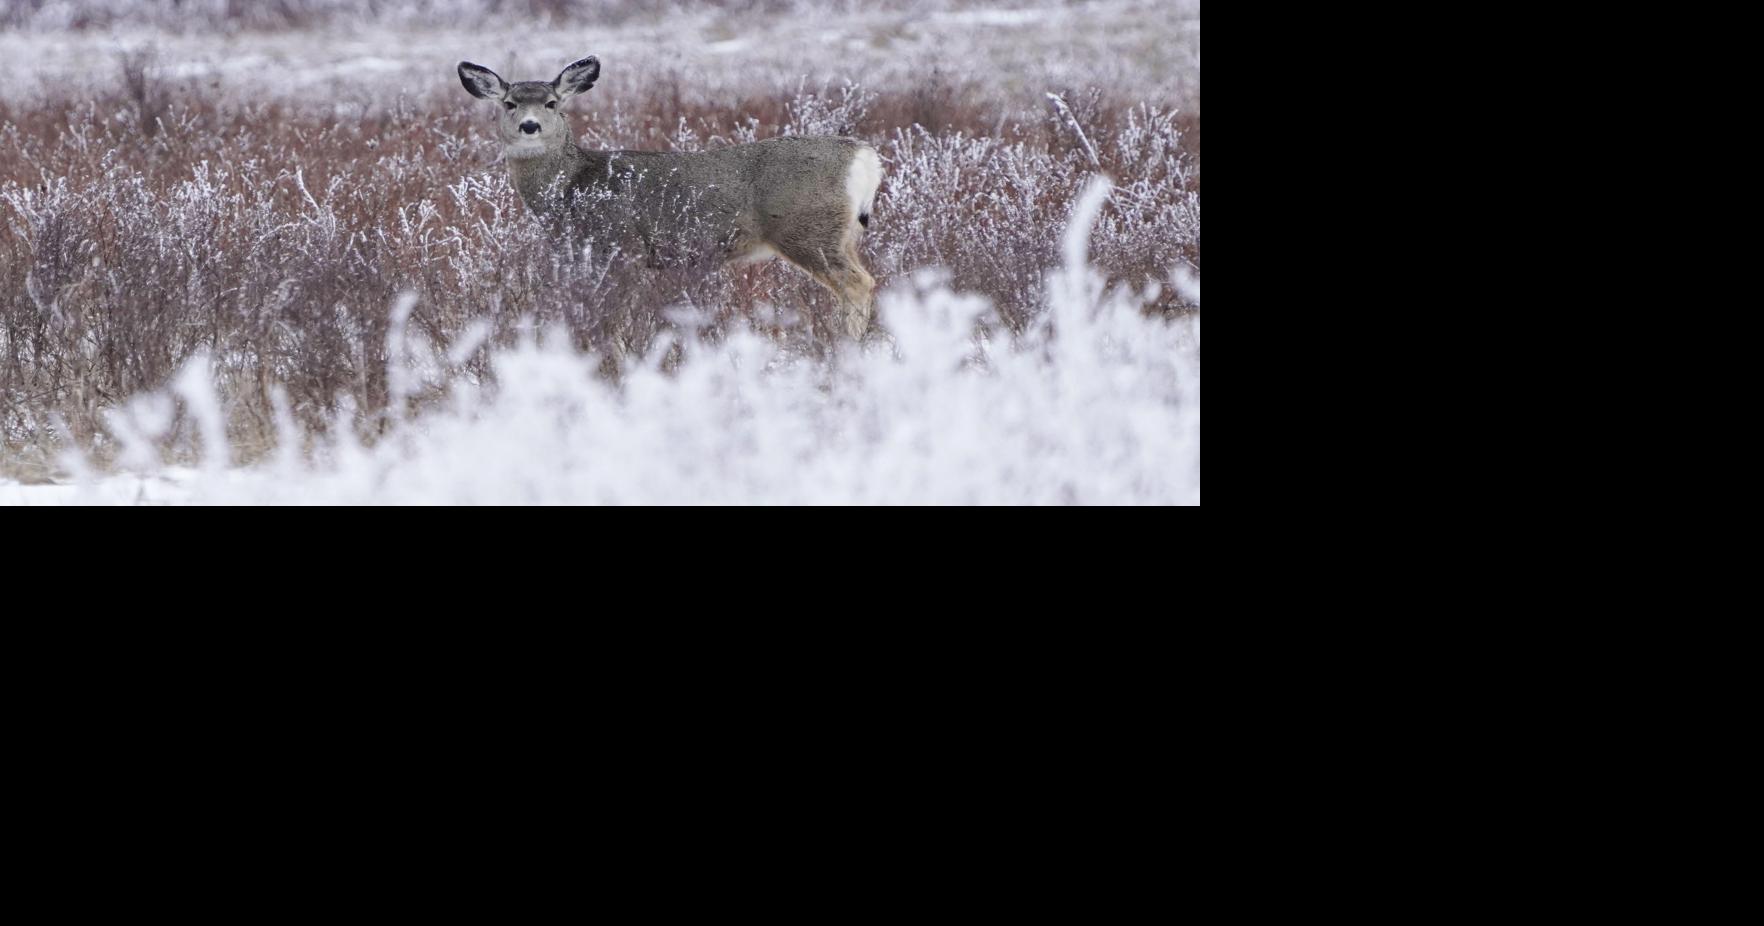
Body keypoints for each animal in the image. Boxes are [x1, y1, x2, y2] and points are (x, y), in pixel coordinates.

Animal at [458, 56, 883, 338]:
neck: (569, 187)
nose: (529, 126)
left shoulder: (620, 245)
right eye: (509, 103)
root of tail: (865, 158)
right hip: (841, 235)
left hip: (807, 230)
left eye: (552, 103)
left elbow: (615, 320)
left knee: (858, 283)